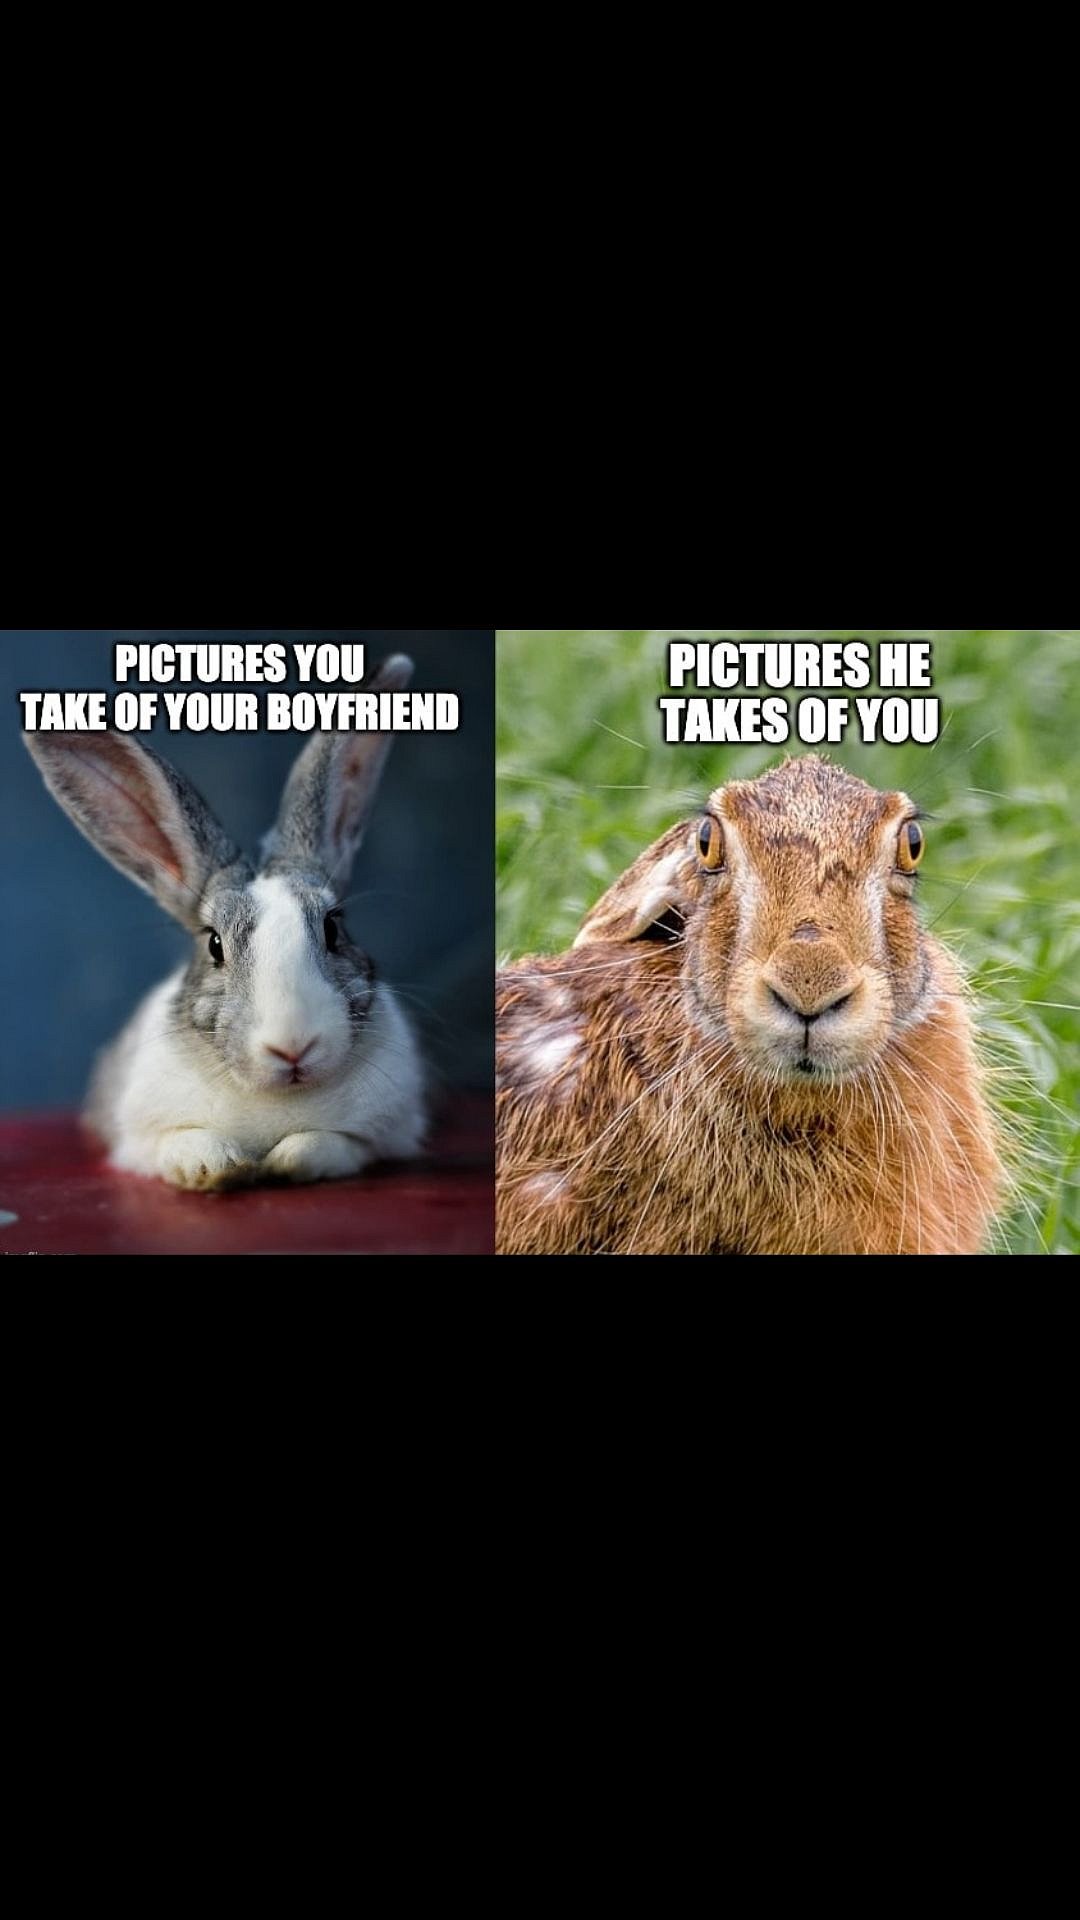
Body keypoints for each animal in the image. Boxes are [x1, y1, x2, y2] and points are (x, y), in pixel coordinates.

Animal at [25, 656, 425, 1190]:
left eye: (333, 928)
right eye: (214, 945)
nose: (293, 1047)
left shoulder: (380, 1136)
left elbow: (327, 1144)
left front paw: (284, 1160)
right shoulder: (139, 1140)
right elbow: (183, 1143)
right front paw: (218, 1167)